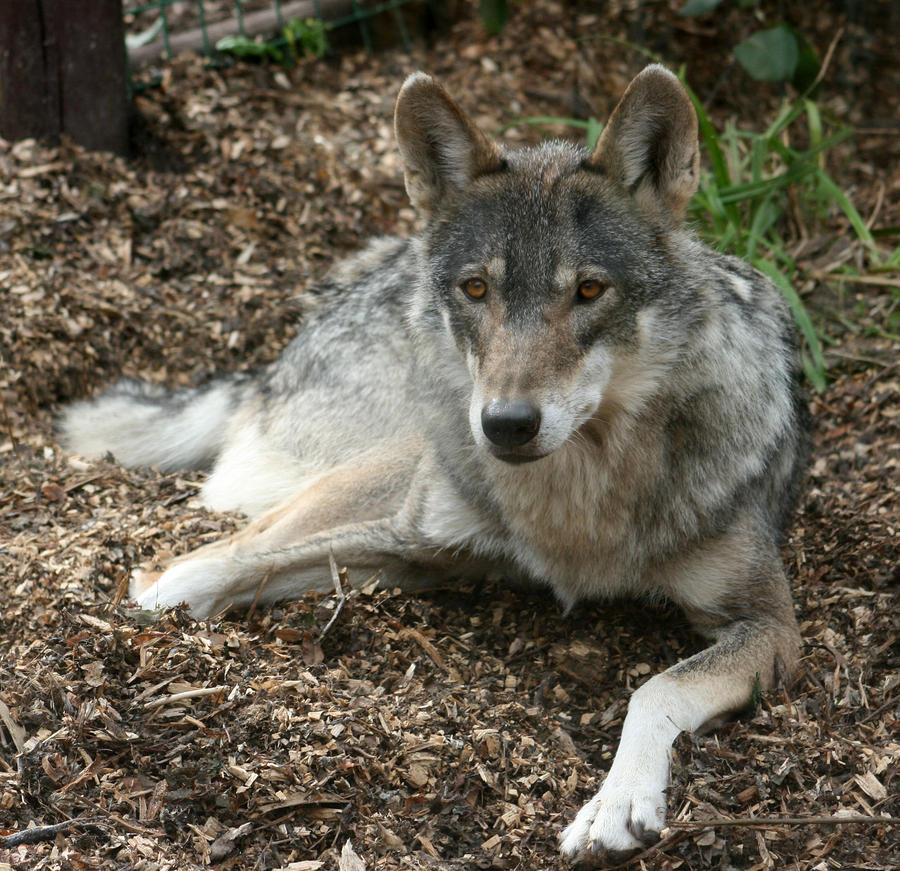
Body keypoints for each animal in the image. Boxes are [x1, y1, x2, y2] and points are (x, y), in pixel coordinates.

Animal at [60, 65, 809, 858]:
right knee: (227, 539)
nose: (505, 425)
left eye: (588, 290)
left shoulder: (770, 627)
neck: (577, 505)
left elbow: (655, 686)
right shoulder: (414, 541)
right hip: (388, 469)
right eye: (476, 288)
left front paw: (615, 804)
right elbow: (234, 564)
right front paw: (140, 608)